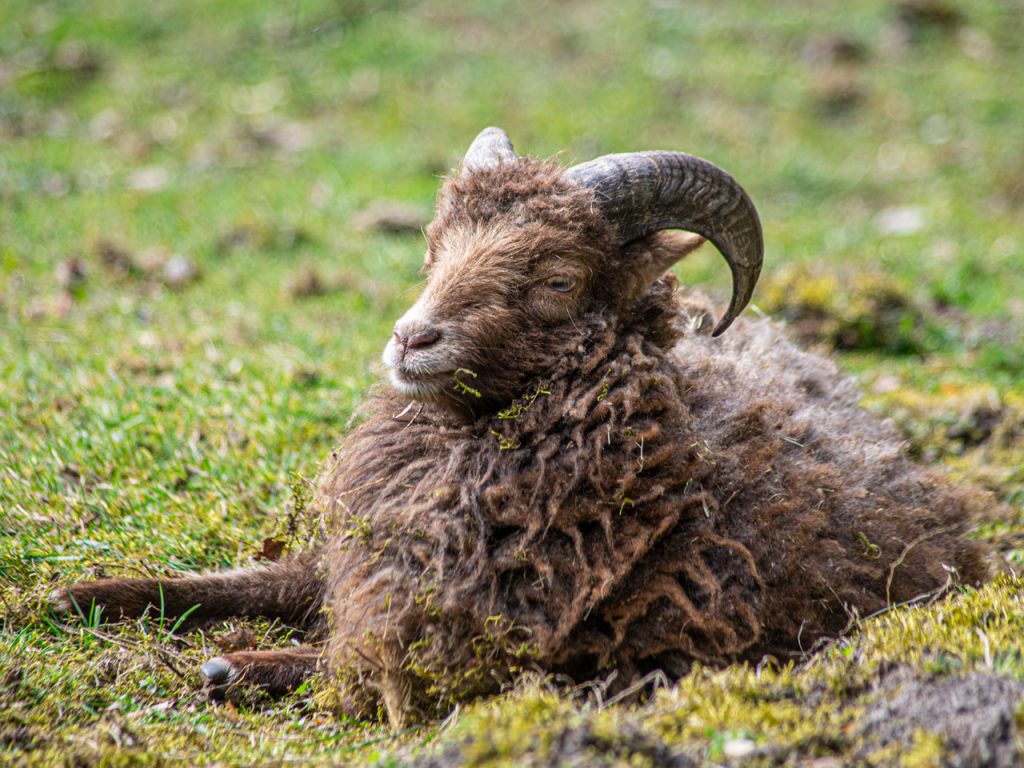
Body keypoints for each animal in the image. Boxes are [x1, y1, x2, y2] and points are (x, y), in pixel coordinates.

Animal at [51, 127, 992, 728]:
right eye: (434, 249)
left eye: (559, 279)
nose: (412, 338)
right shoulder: (364, 559)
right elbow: (254, 579)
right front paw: (83, 594)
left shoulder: (529, 655)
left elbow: (359, 664)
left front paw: (236, 667)